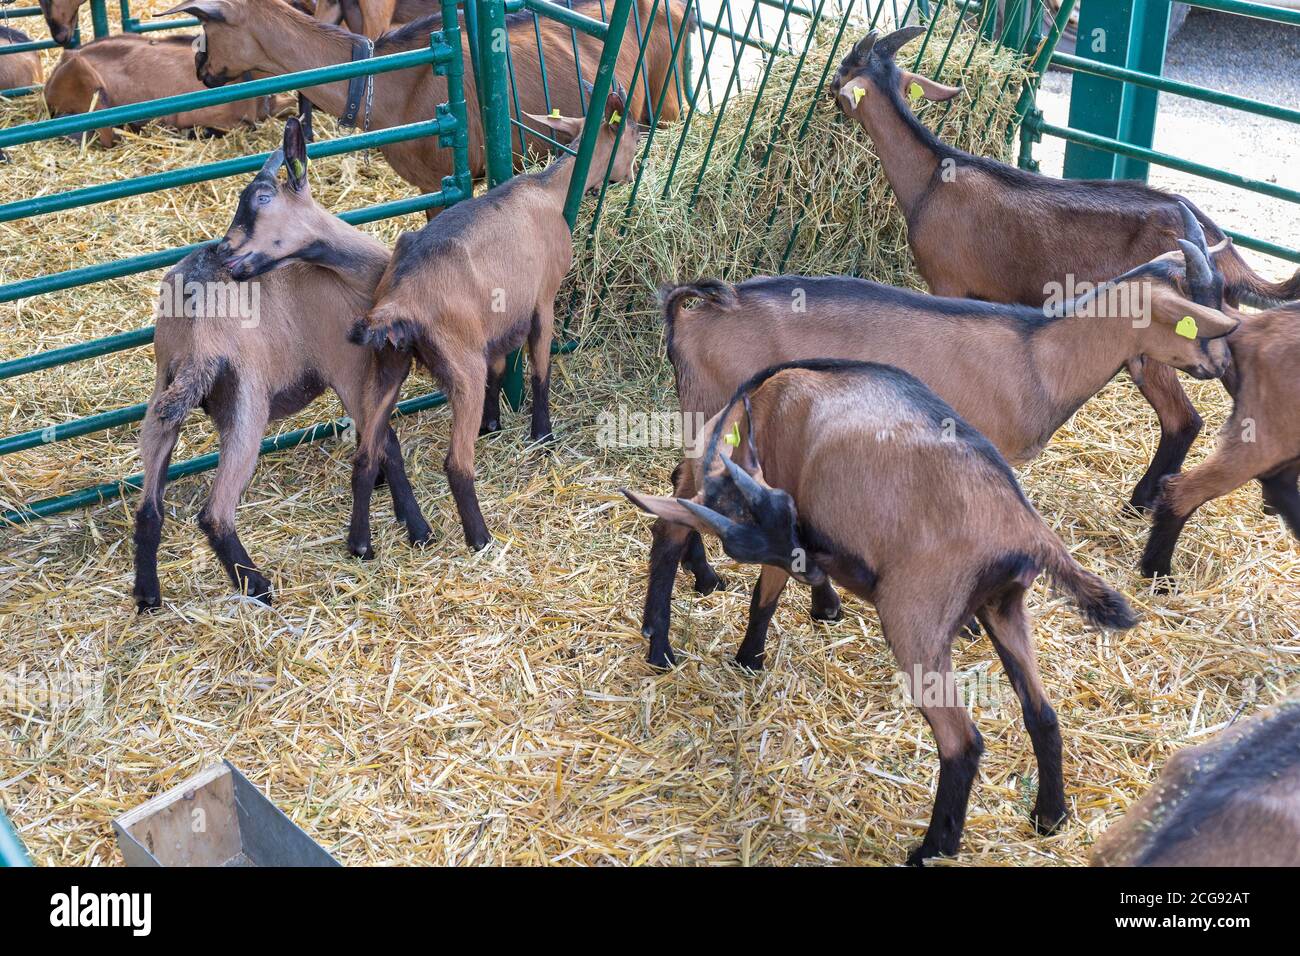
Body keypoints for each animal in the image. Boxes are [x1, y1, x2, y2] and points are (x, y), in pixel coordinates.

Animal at [134, 117, 430, 611]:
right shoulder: (350, 370)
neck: (354, 275)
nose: (222, 250)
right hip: (246, 399)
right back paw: (257, 586)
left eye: (263, 197)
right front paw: (416, 529)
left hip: (163, 393)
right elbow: (386, 443)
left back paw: (147, 596)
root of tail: (192, 326)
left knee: (148, 507)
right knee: (214, 512)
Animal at [345, 86, 638, 555]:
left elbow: (500, 366)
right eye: (632, 133)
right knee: (456, 462)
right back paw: (480, 537)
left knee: (366, 455)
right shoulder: (543, 298)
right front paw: (542, 434)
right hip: (460, 363)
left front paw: (493, 422)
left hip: (388, 364)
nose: (629, 174)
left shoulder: (498, 322)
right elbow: (540, 367)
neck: (548, 191)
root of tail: (397, 302)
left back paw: (360, 545)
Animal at [625, 358, 1138, 864]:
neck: (763, 401)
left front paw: (747, 657)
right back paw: (1049, 817)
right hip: (1005, 609)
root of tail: (1029, 533)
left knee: (961, 740)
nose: (813, 571)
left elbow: (762, 597)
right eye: (743, 542)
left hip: (915, 623)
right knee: (1042, 714)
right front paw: (817, 608)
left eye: (787, 511)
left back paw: (932, 849)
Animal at [656, 231, 1237, 623]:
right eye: (1199, 321)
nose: (1223, 365)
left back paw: (707, 579)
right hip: (720, 415)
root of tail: (691, 316)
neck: (1036, 354)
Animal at [831, 26, 1300, 513]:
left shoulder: (948, 283)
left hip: (1161, 345)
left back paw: (1141, 501)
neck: (931, 177)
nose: (829, 88)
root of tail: (1217, 242)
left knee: (1184, 418)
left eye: (846, 66)